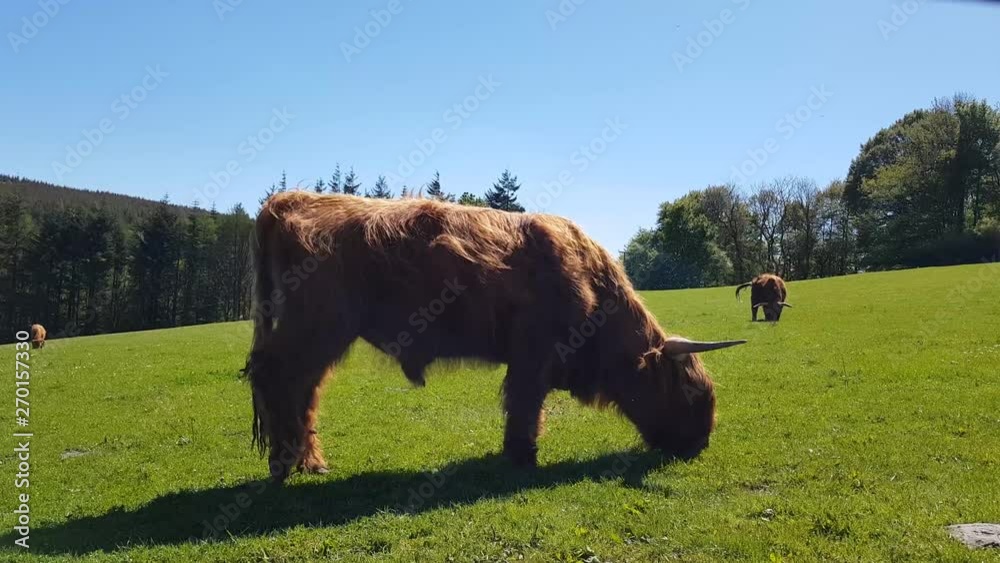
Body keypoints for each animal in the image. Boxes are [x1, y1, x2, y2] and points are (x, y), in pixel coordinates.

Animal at [245, 192, 746, 483]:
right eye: (689, 390)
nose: (700, 442)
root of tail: (288, 199)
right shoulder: (534, 354)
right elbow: (524, 404)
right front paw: (522, 456)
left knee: (303, 390)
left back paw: (309, 461)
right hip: (317, 328)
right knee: (276, 377)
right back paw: (285, 463)